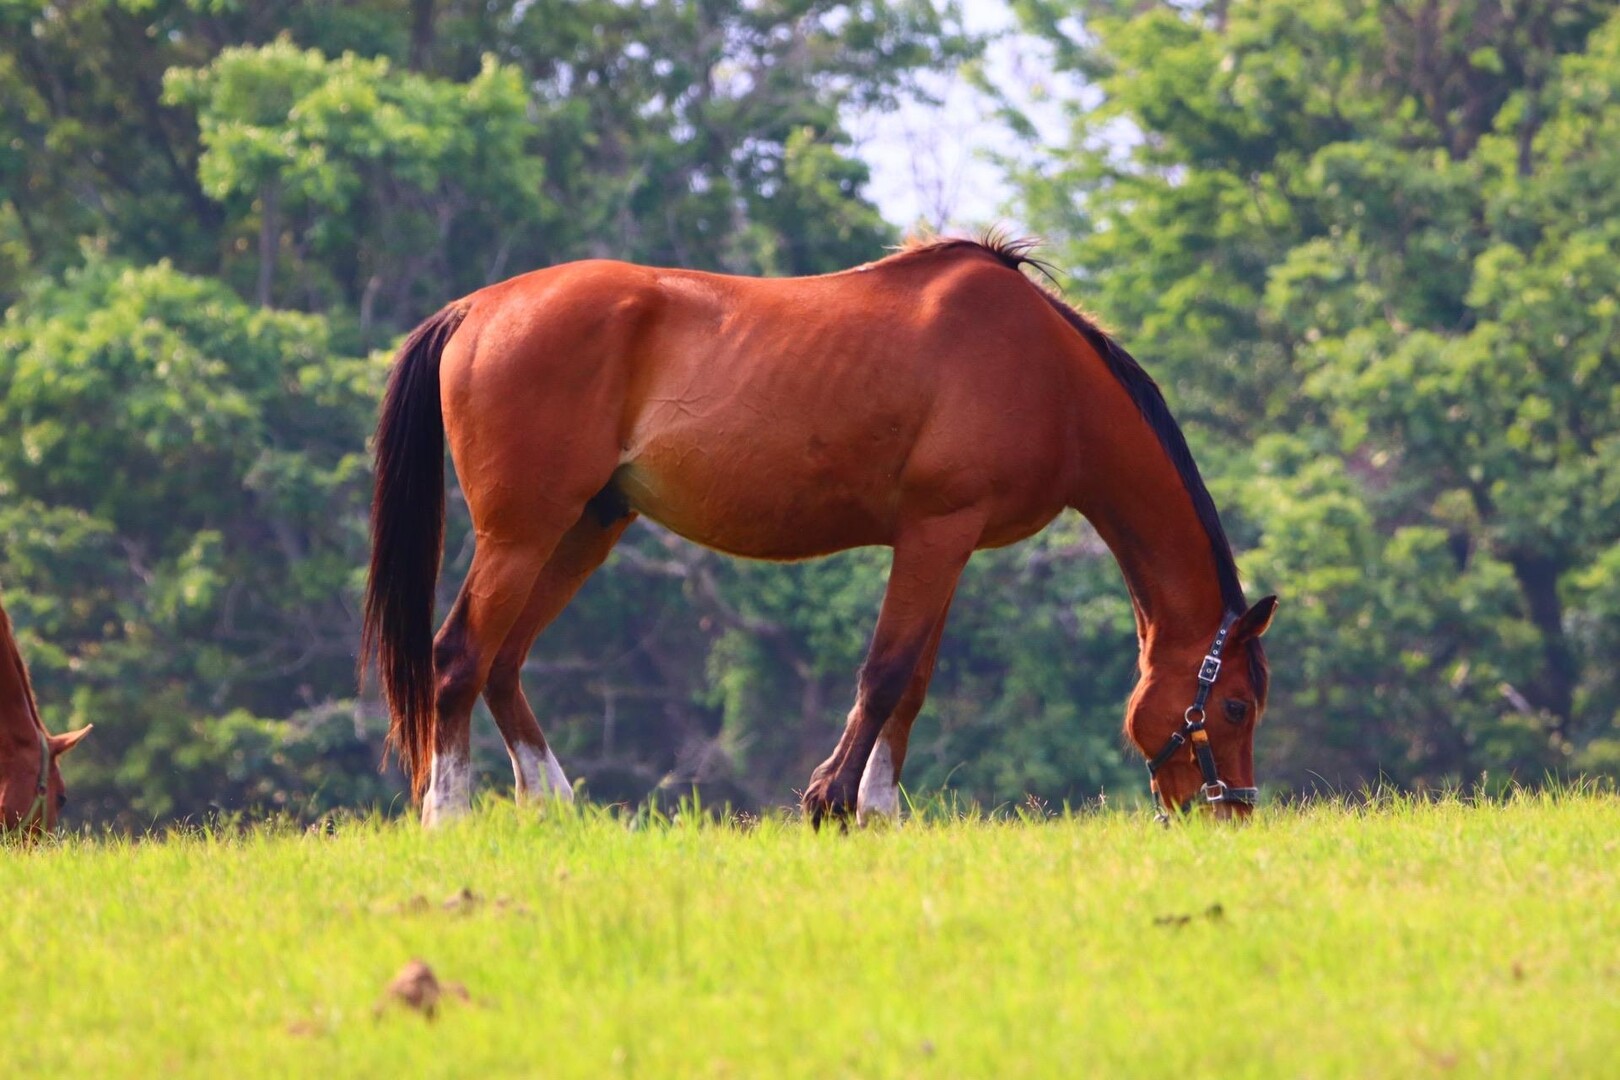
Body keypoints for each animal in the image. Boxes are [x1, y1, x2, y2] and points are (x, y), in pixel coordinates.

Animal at [361, 234, 1277, 827]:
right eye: (1234, 705)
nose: (1228, 813)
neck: (1050, 375)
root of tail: (478, 308)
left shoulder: (949, 543)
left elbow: (913, 682)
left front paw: (878, 809)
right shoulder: (938, 529)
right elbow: (886, 671)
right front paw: (832, 801)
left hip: (586, 526)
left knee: (505, 662)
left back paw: (553, 806)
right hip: (522, 534)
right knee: (457, 659)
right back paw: (447, 816)